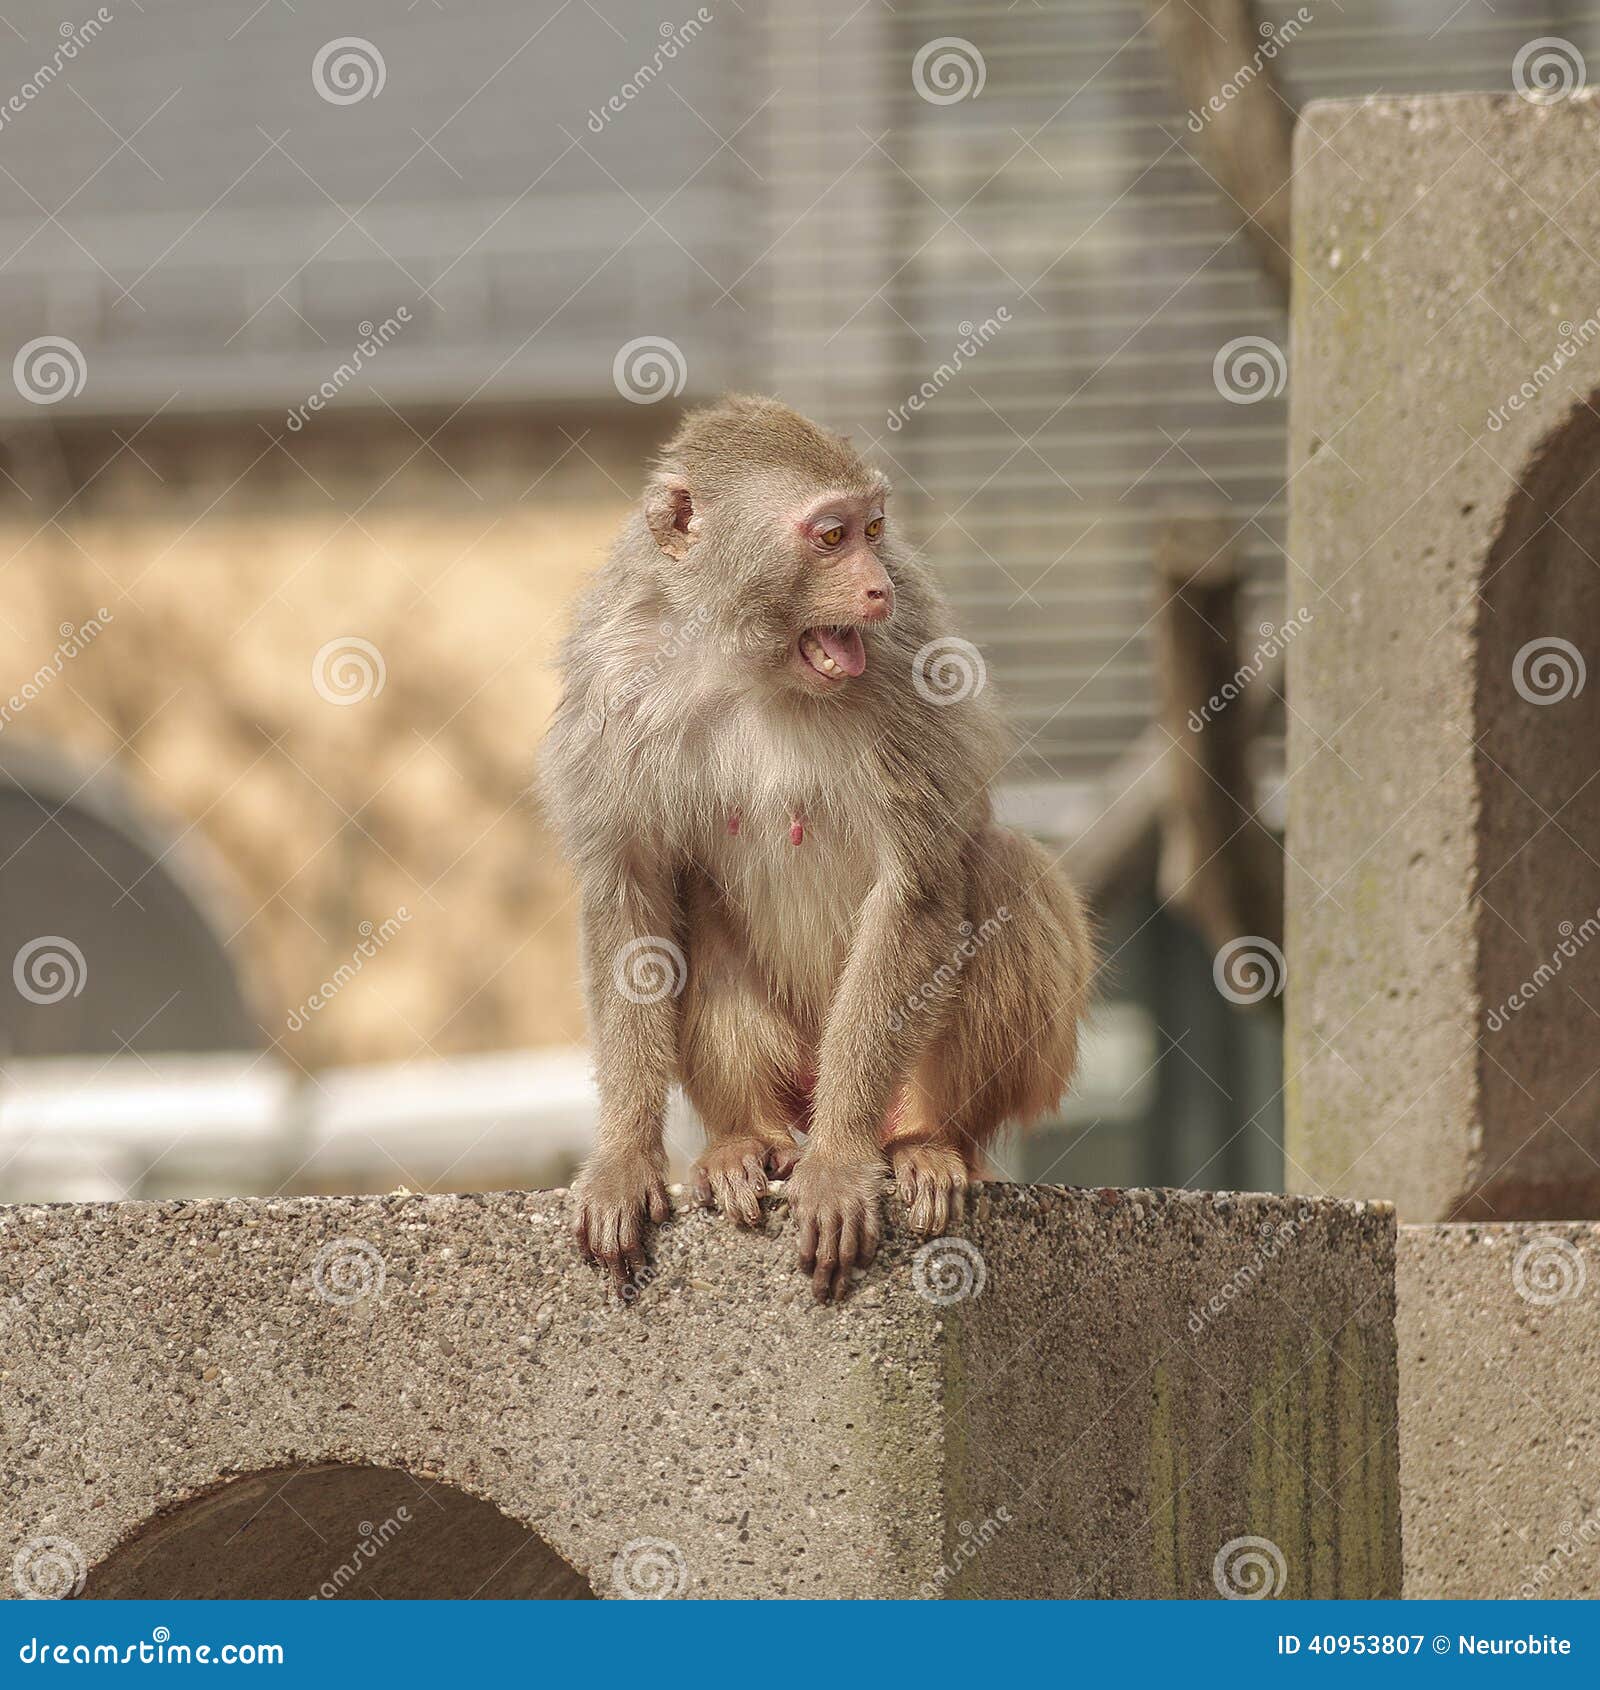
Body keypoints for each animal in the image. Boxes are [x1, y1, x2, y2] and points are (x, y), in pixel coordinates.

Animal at [541, 394, 1094, 1302]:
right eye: (831, 537)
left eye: (874, 529)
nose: (876, 586)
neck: (746, 662)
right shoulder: (612, 681)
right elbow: (630, 892)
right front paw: (624, 1155)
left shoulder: (907, 657)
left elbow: (917, 886)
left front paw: (837, 1160)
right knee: (695, 909)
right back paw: (747, 1141)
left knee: (999, 867)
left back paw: (924, 1141)